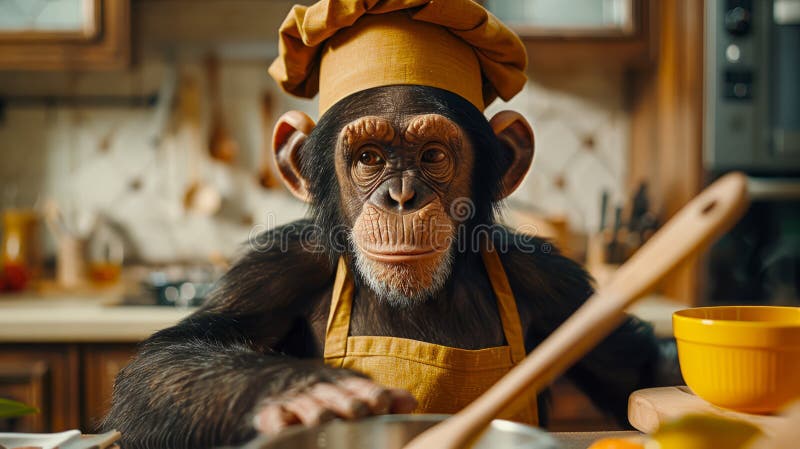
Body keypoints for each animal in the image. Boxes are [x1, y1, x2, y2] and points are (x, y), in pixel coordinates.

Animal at [103, 85, 681, 449]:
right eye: (369, 158)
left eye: (432, 155)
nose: (401, 197)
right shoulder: (274, 270)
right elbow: (172, 352)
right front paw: (304, 389)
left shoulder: (553, 281)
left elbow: (633, 369)